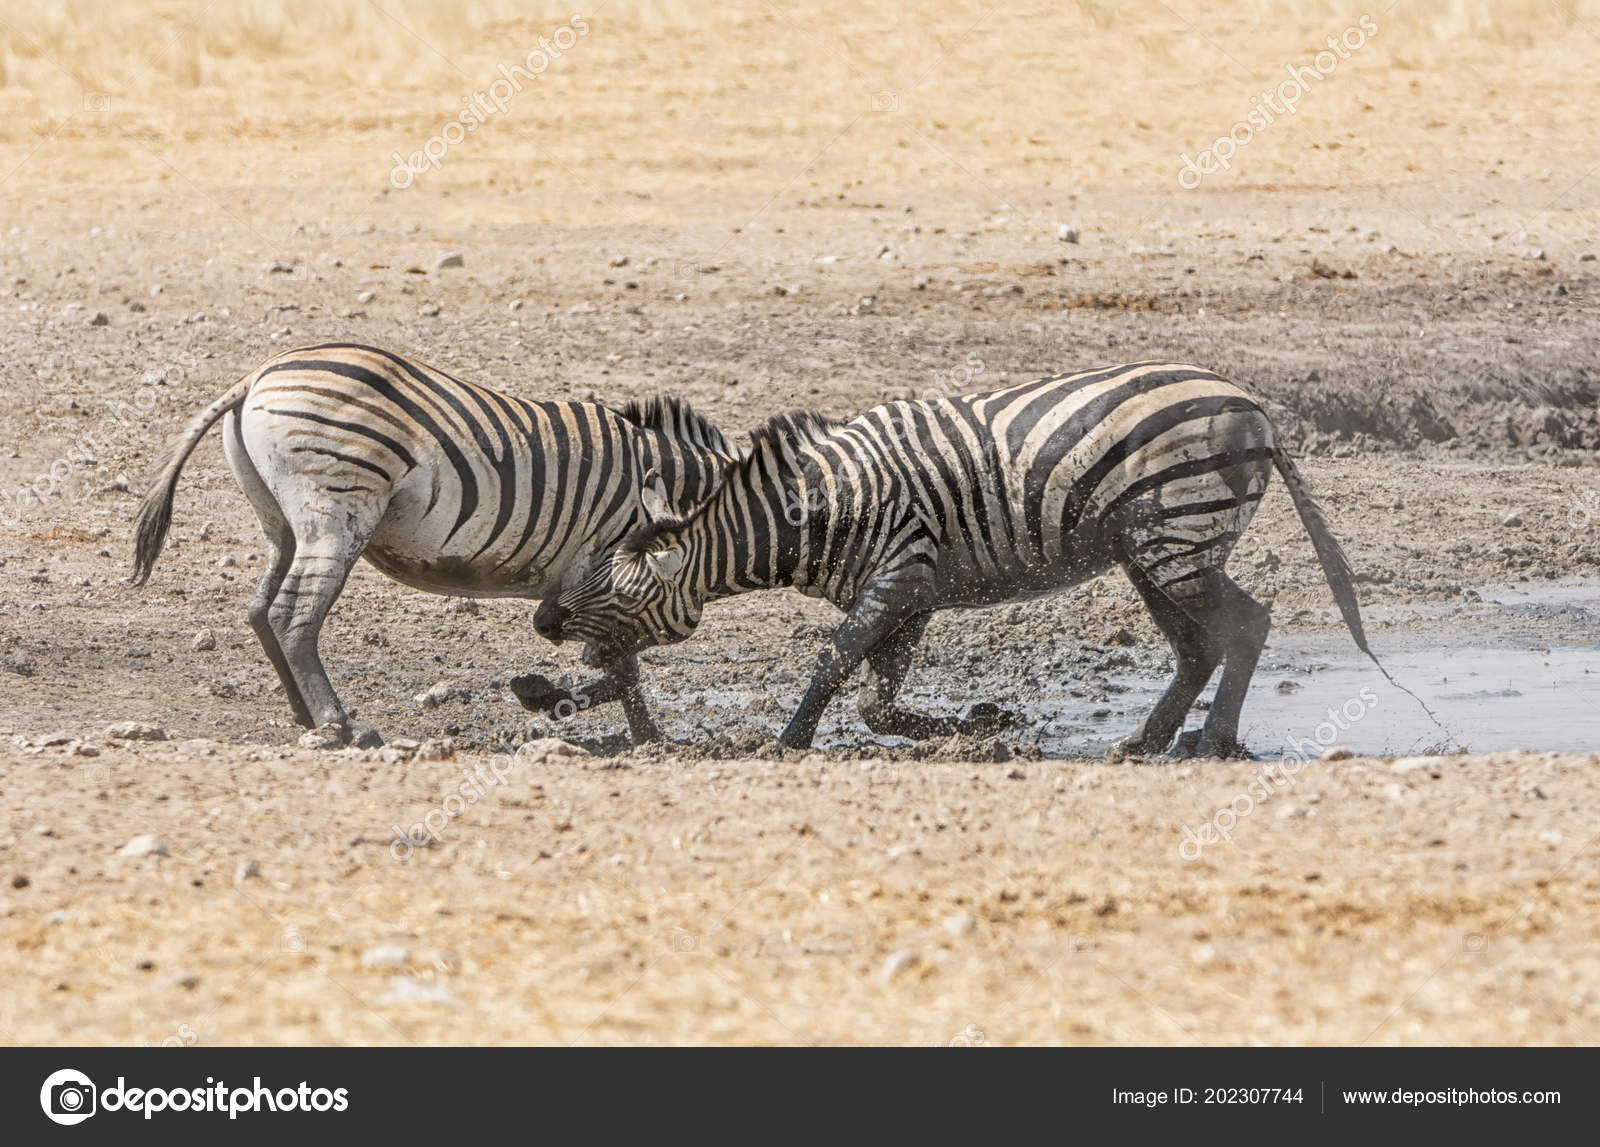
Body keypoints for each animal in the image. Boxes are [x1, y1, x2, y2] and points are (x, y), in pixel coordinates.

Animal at [131, 342, 734, 747]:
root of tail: (256, 375)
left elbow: (615, 662)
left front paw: (631, 728)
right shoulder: (604, 568)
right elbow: (622, 663)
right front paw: (647, 736)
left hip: (280, 520)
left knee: (261, 608)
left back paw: (305, 714)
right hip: (336, 508)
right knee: (292, 616)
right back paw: (339, 725)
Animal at [539, 361, 1401, 756]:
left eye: (602, 583)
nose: (543, 620)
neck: (814, 506)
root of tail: (1251, 404)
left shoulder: (899, 575)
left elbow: (834, 661)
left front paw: (786, 741)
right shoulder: (912, 594)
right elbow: (876, 699)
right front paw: (968, 724)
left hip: (1176, 534)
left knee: (1245, 624)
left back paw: (1211, 741)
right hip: (1147, 548)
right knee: (1197, 646)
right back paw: (1144, 741)